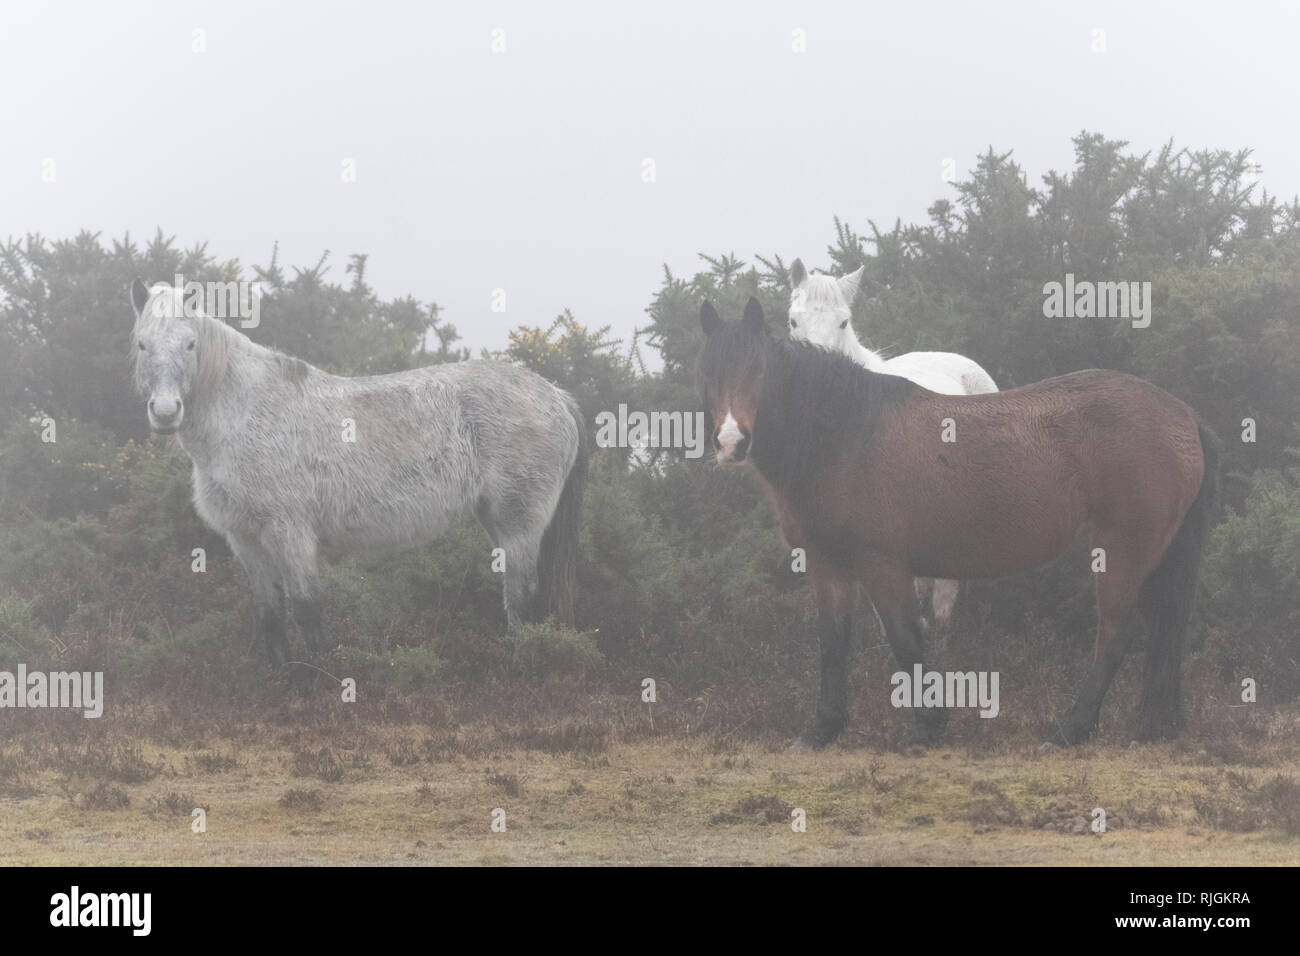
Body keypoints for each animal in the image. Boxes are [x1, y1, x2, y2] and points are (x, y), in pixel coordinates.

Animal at [128, 278, 587, 670]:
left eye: (190, 344)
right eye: (141, 343)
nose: (165, 412)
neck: (246, 414)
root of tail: (558, 397)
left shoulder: (290, 532)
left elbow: (307, 610)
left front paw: (320, 686)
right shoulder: (244, 538)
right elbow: (270, 615)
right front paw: (284, 684)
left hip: (519, 523)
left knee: (523, 601)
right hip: (495, 519)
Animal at [698, 297, 1219, 749]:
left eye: (759, 370)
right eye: (708, 372)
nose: (732, 443)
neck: (848, 436)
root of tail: (1184, 414)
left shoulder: (883, 564)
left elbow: (905, 639)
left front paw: (928, 726)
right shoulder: (828, 566)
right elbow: (833, 642)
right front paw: (821, 731)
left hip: (1123, 547)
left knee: (1117, 631)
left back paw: (1069, 731)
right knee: (1164, 626)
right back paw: (1156, 725)